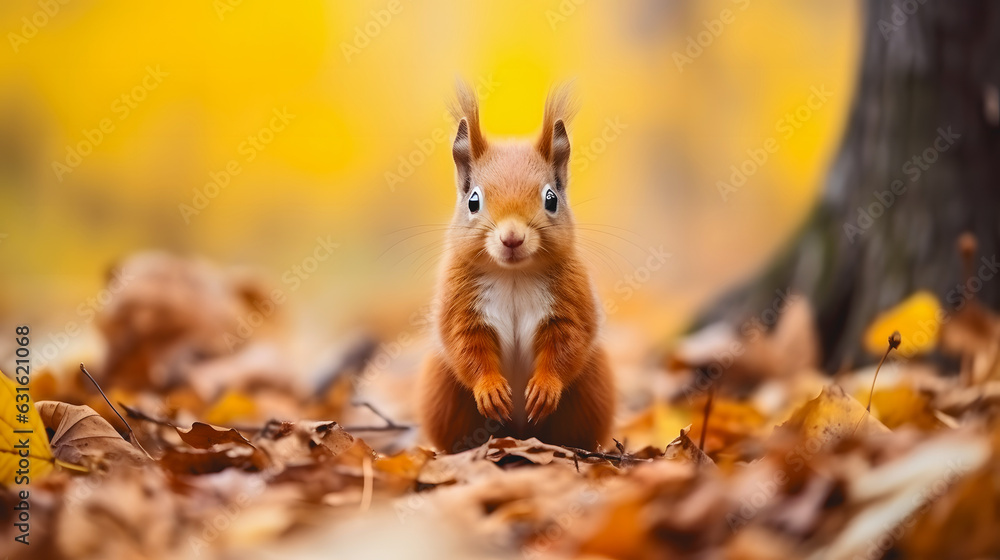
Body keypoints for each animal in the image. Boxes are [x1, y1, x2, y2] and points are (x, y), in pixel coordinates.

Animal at [418, 83, 615, 452]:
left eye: (551, 199)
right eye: (473, 201)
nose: (512, 238)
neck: (513, 275)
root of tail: (521, 435)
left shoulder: (570, 302)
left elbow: (568, 342)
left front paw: (546, 386)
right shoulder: (461, 305)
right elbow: (466, 345)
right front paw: (490, 388)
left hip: (591, 386)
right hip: (442, 388)